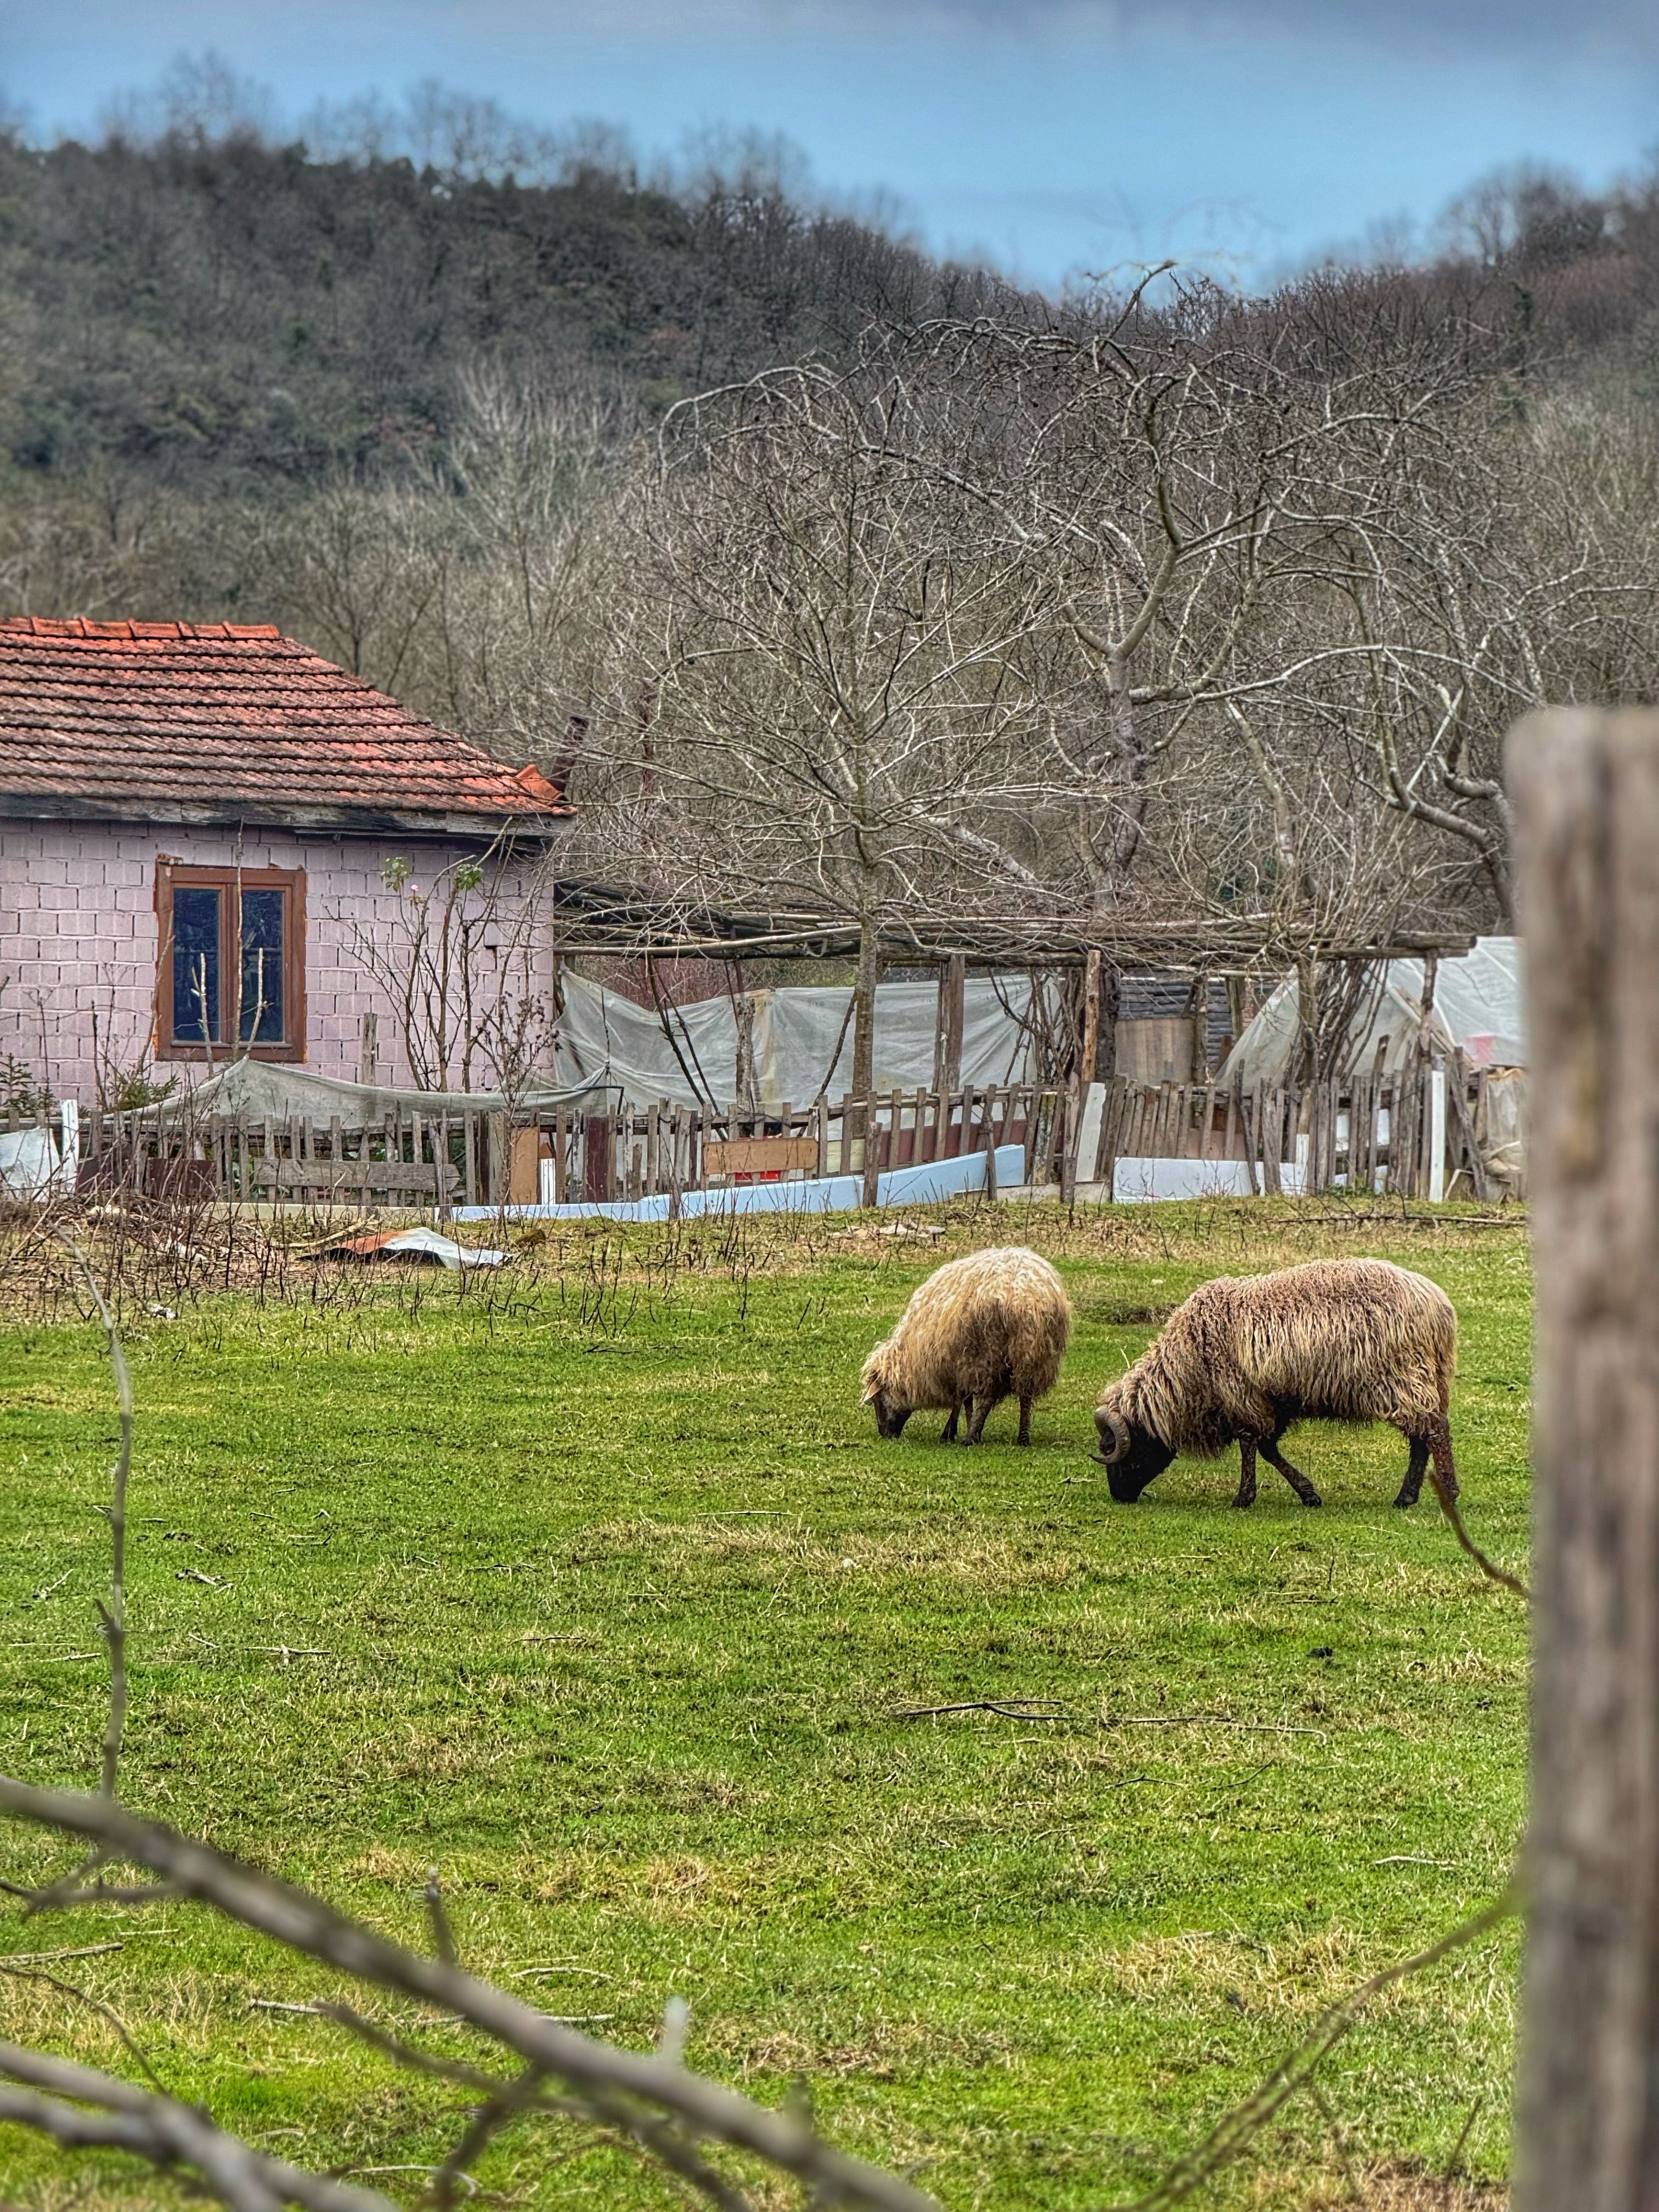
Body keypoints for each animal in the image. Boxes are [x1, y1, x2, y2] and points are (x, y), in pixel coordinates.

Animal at [862, 1246, 1073, 1446]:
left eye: (877, 1400)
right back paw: (1022, 1437)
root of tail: (1022, 1297)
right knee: (1025, 1397)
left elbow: (963, 1401)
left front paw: (953, 1431)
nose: (886, 1435)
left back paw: (971, 1437)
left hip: (987, 1352)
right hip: (1032, 1355)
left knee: (987, 1398)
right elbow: (963, 1400)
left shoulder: (955, 1364)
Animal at [1091, 1257, 1457, 1509]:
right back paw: (1407, 1497)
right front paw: (1308, 1494)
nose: (1119, 1497)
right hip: (1430, 1379)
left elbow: (1251, 1445)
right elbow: (1268, 1448)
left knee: (1434, 1432)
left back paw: (1449, 1492)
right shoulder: (1275, 1400)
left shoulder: (1241, 1396)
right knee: (1423, 1437)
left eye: (1113, 1450)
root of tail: (1437, 1303)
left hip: (1402, 1378)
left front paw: (1243, 1498)